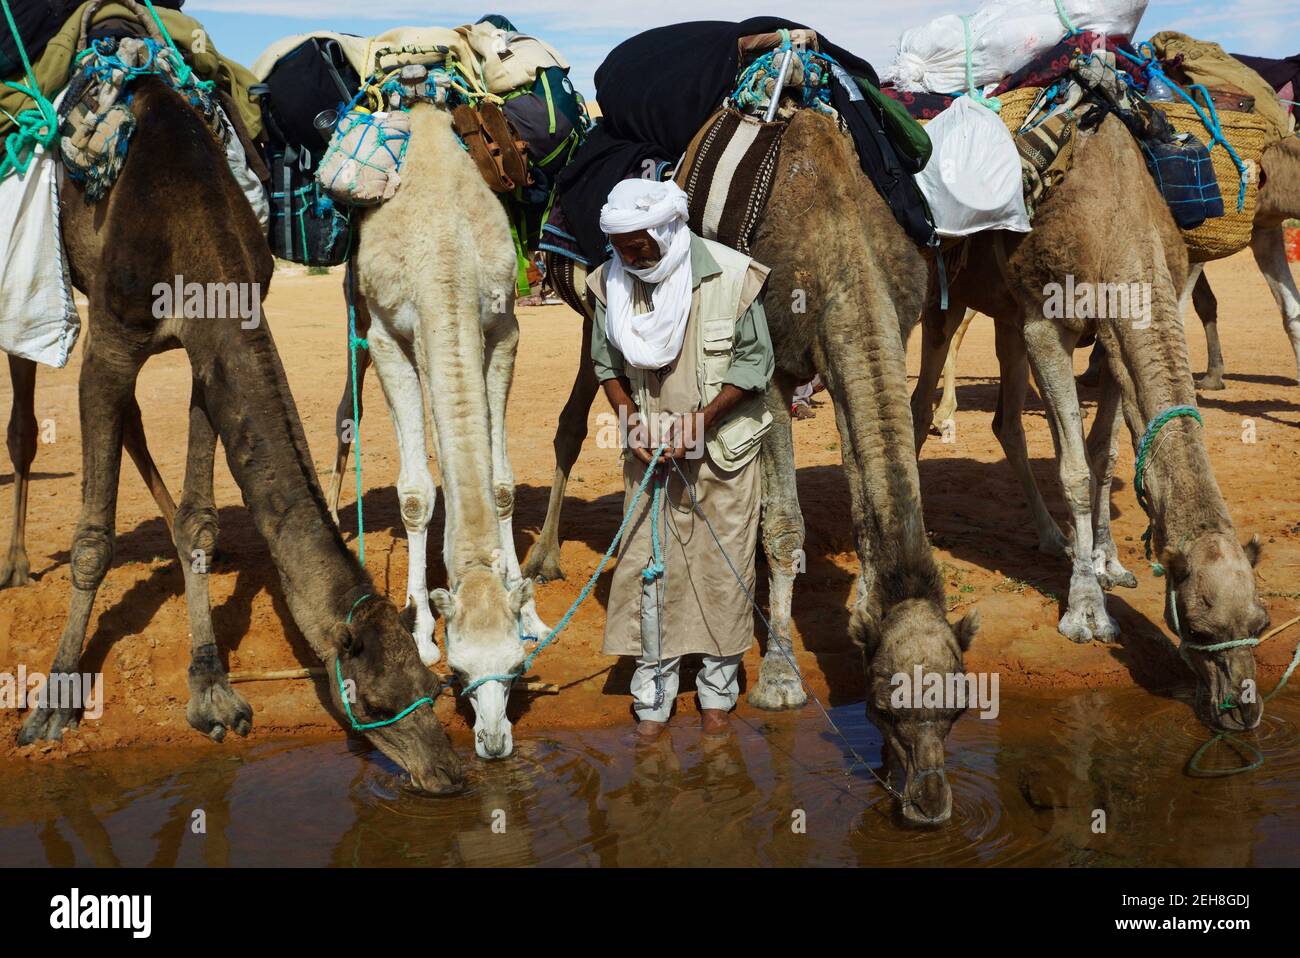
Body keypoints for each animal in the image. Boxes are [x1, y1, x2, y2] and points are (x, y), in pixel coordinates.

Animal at [15, 76, 464, 794]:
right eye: (374, 700)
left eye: (431, 684)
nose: (447, 774)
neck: (188, 231)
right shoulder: (111, 340)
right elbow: (92, 538)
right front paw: (54, 702)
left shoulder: (210, 349)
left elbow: (199, 520)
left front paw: (210, 689)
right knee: (27, 416)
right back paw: (18, 563)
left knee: (135, 427)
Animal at [350, 101, 549, 760]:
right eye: (457, 671)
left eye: (515, 667)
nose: (493, 741)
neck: (443, 256)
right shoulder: (389, 336)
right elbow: (416, 496)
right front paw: (419, 631)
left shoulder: (503, 326)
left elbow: (502, 484)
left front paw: (529, 608)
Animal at [910, 116, 1269, 733]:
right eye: (1199, 628)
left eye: (1260, 623)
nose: (1242, 712)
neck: (1118, 220)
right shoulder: (1045, 321)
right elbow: (1075, 470)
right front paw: (1086, 611)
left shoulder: (1110, 330)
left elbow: (1104, 455)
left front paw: (1108, 564)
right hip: (950, 294)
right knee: (918, 399)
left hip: (1004, 314)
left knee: (1007, 422)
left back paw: (1052, 537)